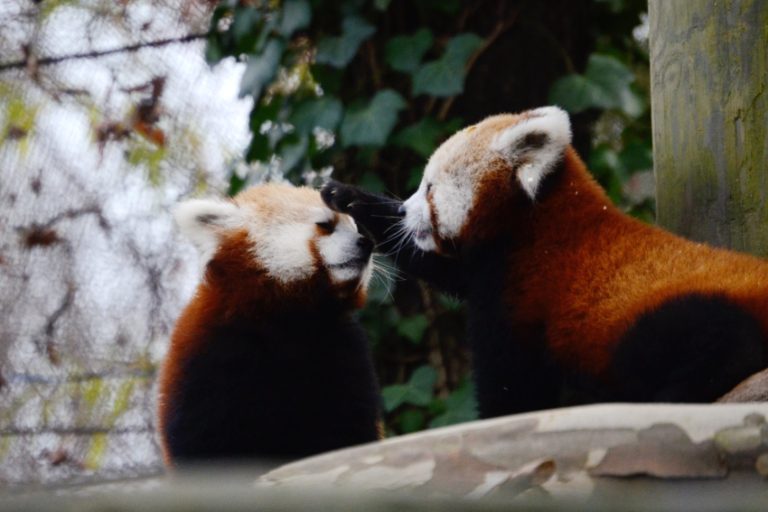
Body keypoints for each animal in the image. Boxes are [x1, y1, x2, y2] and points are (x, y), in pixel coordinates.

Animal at [157, 183, 381, 467]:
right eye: (325, 225)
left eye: (355, 227)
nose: (366, 243)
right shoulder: (210, 350)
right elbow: (206, 436)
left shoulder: (345, 349)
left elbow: (349, 425)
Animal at [322, 106, 768, 418]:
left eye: (429, 188)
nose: (404, 212)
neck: (531, 221)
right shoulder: (483, 264)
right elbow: (437, 265)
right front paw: (347, 196)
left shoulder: (523, 284)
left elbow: (511, 376)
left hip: (684, 309)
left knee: (719, 341)